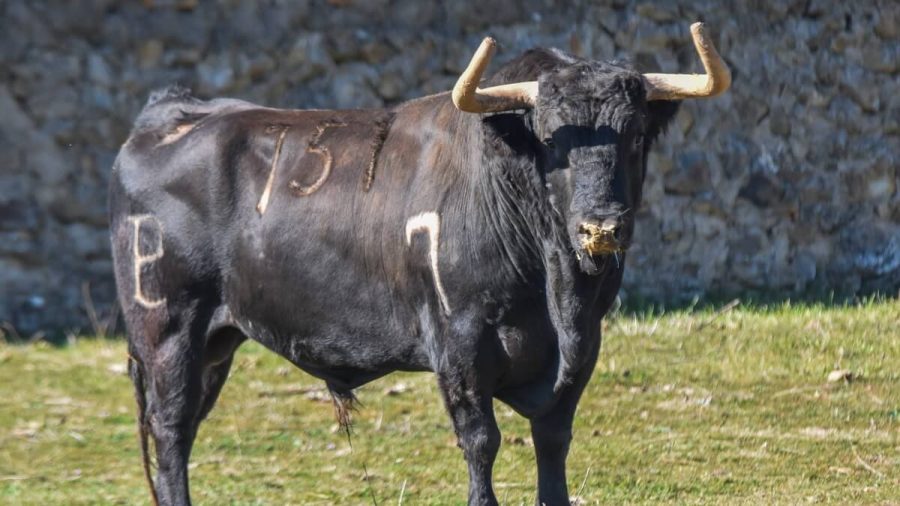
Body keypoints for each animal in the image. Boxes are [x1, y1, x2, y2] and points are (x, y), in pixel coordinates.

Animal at [110, 22, 730, 506]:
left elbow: (553, 440)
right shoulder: (459, 342)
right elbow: (481, 440)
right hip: (167, 328)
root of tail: (171, 112)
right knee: (170, 429)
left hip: (215, 341)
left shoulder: (582, 352)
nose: (601, 227)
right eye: (552, 140)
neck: (558, 295)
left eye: (636, 136)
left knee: (185, 425)